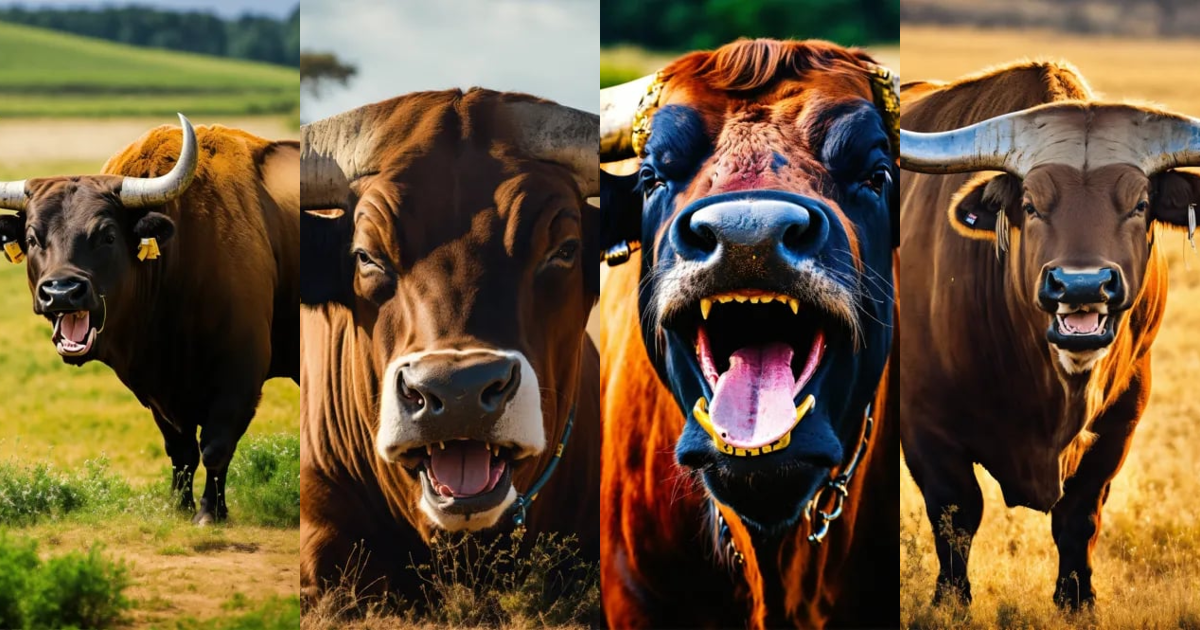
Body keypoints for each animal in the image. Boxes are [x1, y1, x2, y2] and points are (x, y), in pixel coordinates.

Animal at [0, 115, 300, 524]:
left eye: (107, 235)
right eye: (32, 238)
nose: (61, 291)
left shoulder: (241, 376)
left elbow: (215, 446)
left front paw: (209, 512)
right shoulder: (158, 391)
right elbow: (181, 450)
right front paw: (180, 505)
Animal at [898, 60, 1200, 609]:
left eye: (1140, 204)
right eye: (1032, 205)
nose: (1081, 284)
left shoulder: (1123, 417)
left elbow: (1080, 517)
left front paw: (1077, 598)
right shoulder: (925, 422)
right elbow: (956, 514)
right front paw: (951, 601)